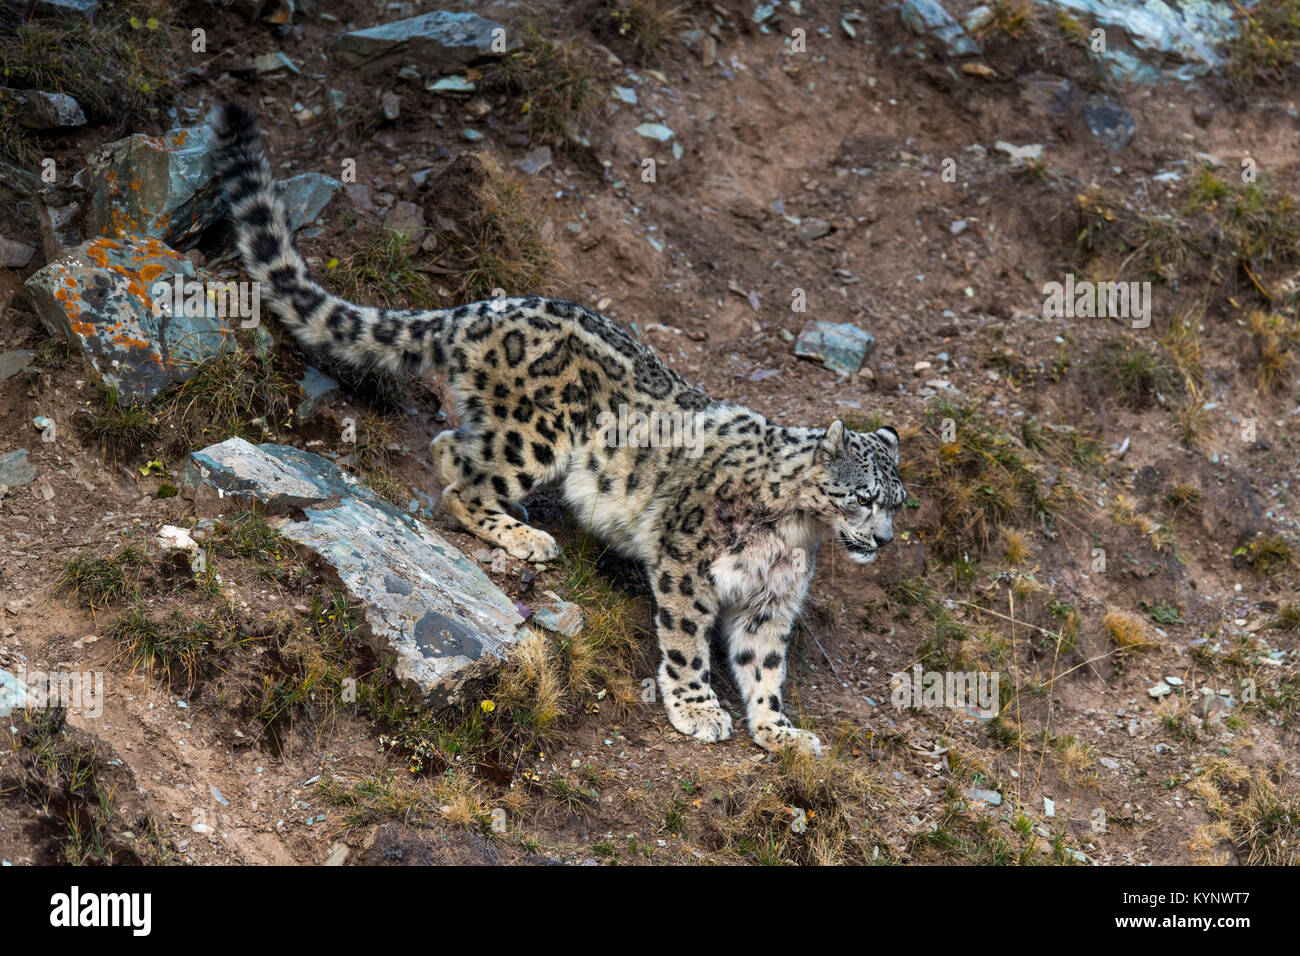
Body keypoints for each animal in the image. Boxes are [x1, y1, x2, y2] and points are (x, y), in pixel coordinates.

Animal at [210, 103, 907, 755]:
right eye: (864, 497)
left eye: (897, 502)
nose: (885, 540)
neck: (795, 532)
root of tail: (476, 309)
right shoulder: (687, 562)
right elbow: (686, 640)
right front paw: (698, 709)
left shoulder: (771, 601)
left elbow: (764, 669)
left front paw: (780, 731)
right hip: (534, 435)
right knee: (461, 477)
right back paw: (525, 536)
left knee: (450, 447)